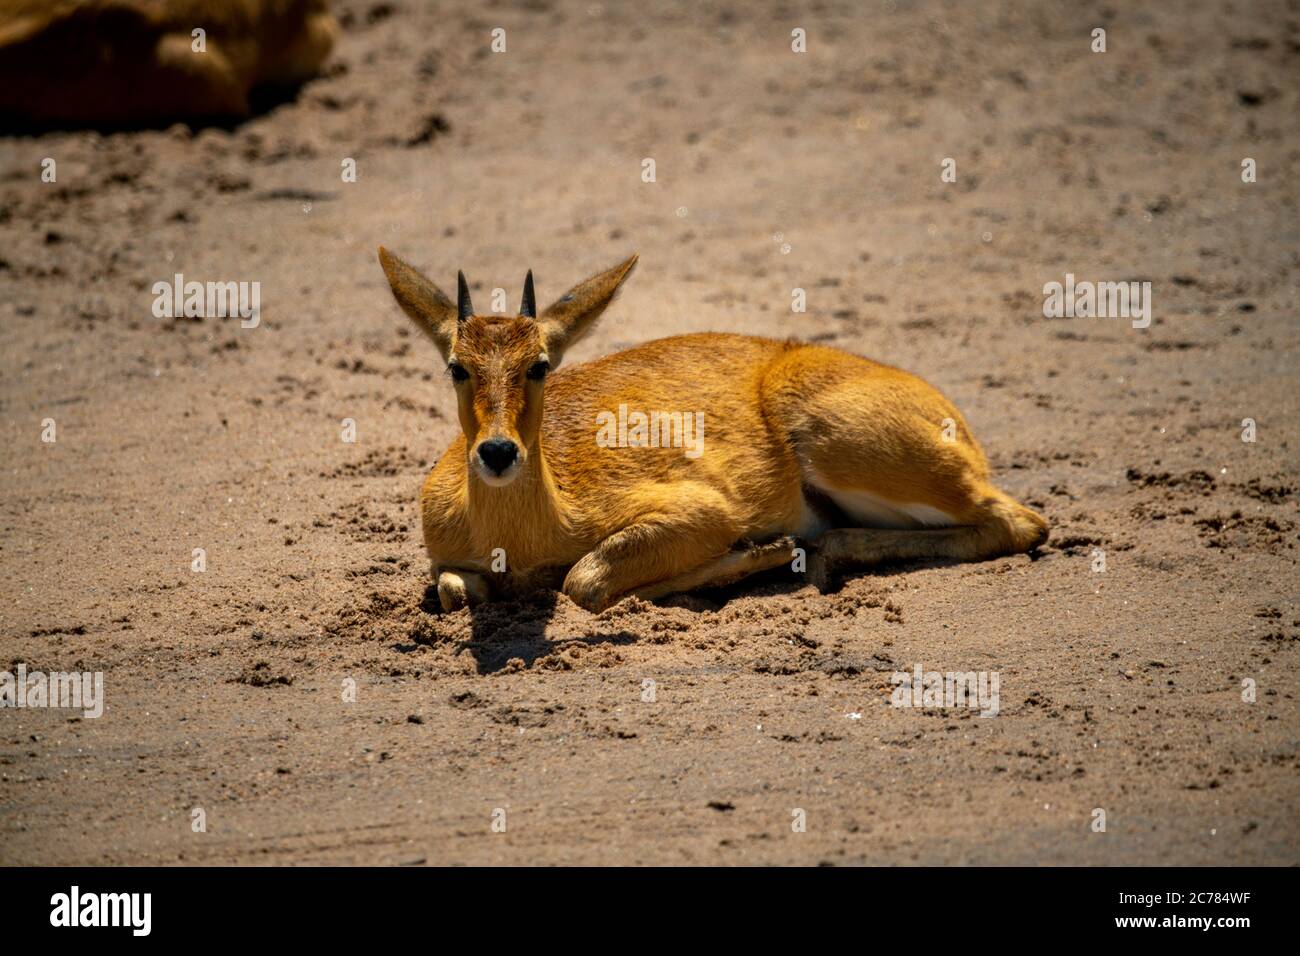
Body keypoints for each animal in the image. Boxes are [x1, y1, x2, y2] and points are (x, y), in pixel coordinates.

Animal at [377, 249, 1049, 613]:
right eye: (457, 366)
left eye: (540, 364)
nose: (497, 452)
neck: (527, 532)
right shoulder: (448, 561)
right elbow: (458, 590)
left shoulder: (703, 510)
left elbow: (582, 580)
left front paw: (757, 552)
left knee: (1021, 522)